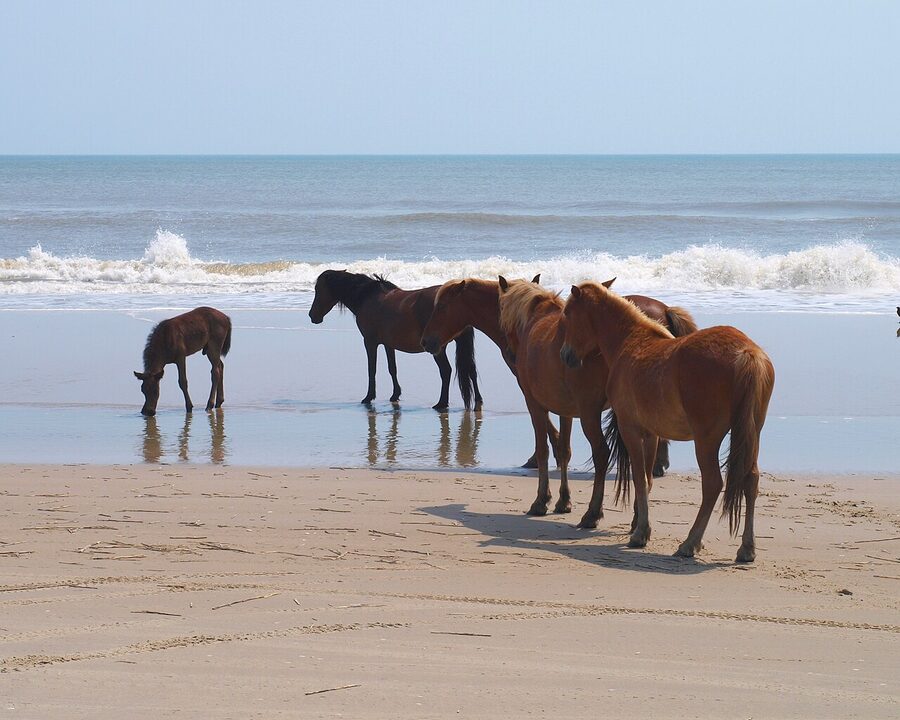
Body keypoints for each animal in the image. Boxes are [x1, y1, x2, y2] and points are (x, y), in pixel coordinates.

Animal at [308, 270, 481, 411]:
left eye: (318, 290)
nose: (312, 315)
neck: (367, 297)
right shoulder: (388, 344)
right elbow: (392, 368)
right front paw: (395, 395)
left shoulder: (369, 342)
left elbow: (372, 369)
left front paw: (368, 397)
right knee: (471, 370)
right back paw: (478, 401)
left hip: (437, 347)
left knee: (446, 371)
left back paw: (441, 403)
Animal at [495, 277, 698, 528]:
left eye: (501, 307)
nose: (510, 353)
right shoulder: (566, 411)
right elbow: (564, 451)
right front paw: (563, 501)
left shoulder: (535, 406)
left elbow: (543, 451)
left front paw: (542, 501)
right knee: (641, 463)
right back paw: (637, 518)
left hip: (590, 414)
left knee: (602, 453)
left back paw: (593, 513)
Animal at [560, 281, 774, 562]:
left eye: (568, 314)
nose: (566, 355)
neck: (631, 342)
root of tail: (747, 352)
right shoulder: (651, 434)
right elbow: (648, 478)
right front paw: (641, 527)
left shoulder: (630, 429)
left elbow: (639, 478)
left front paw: (640, 534)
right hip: (753, 433)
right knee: (751, 480)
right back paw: (746, 548)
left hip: (707, 440)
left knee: (713, 484)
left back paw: (690, 543)